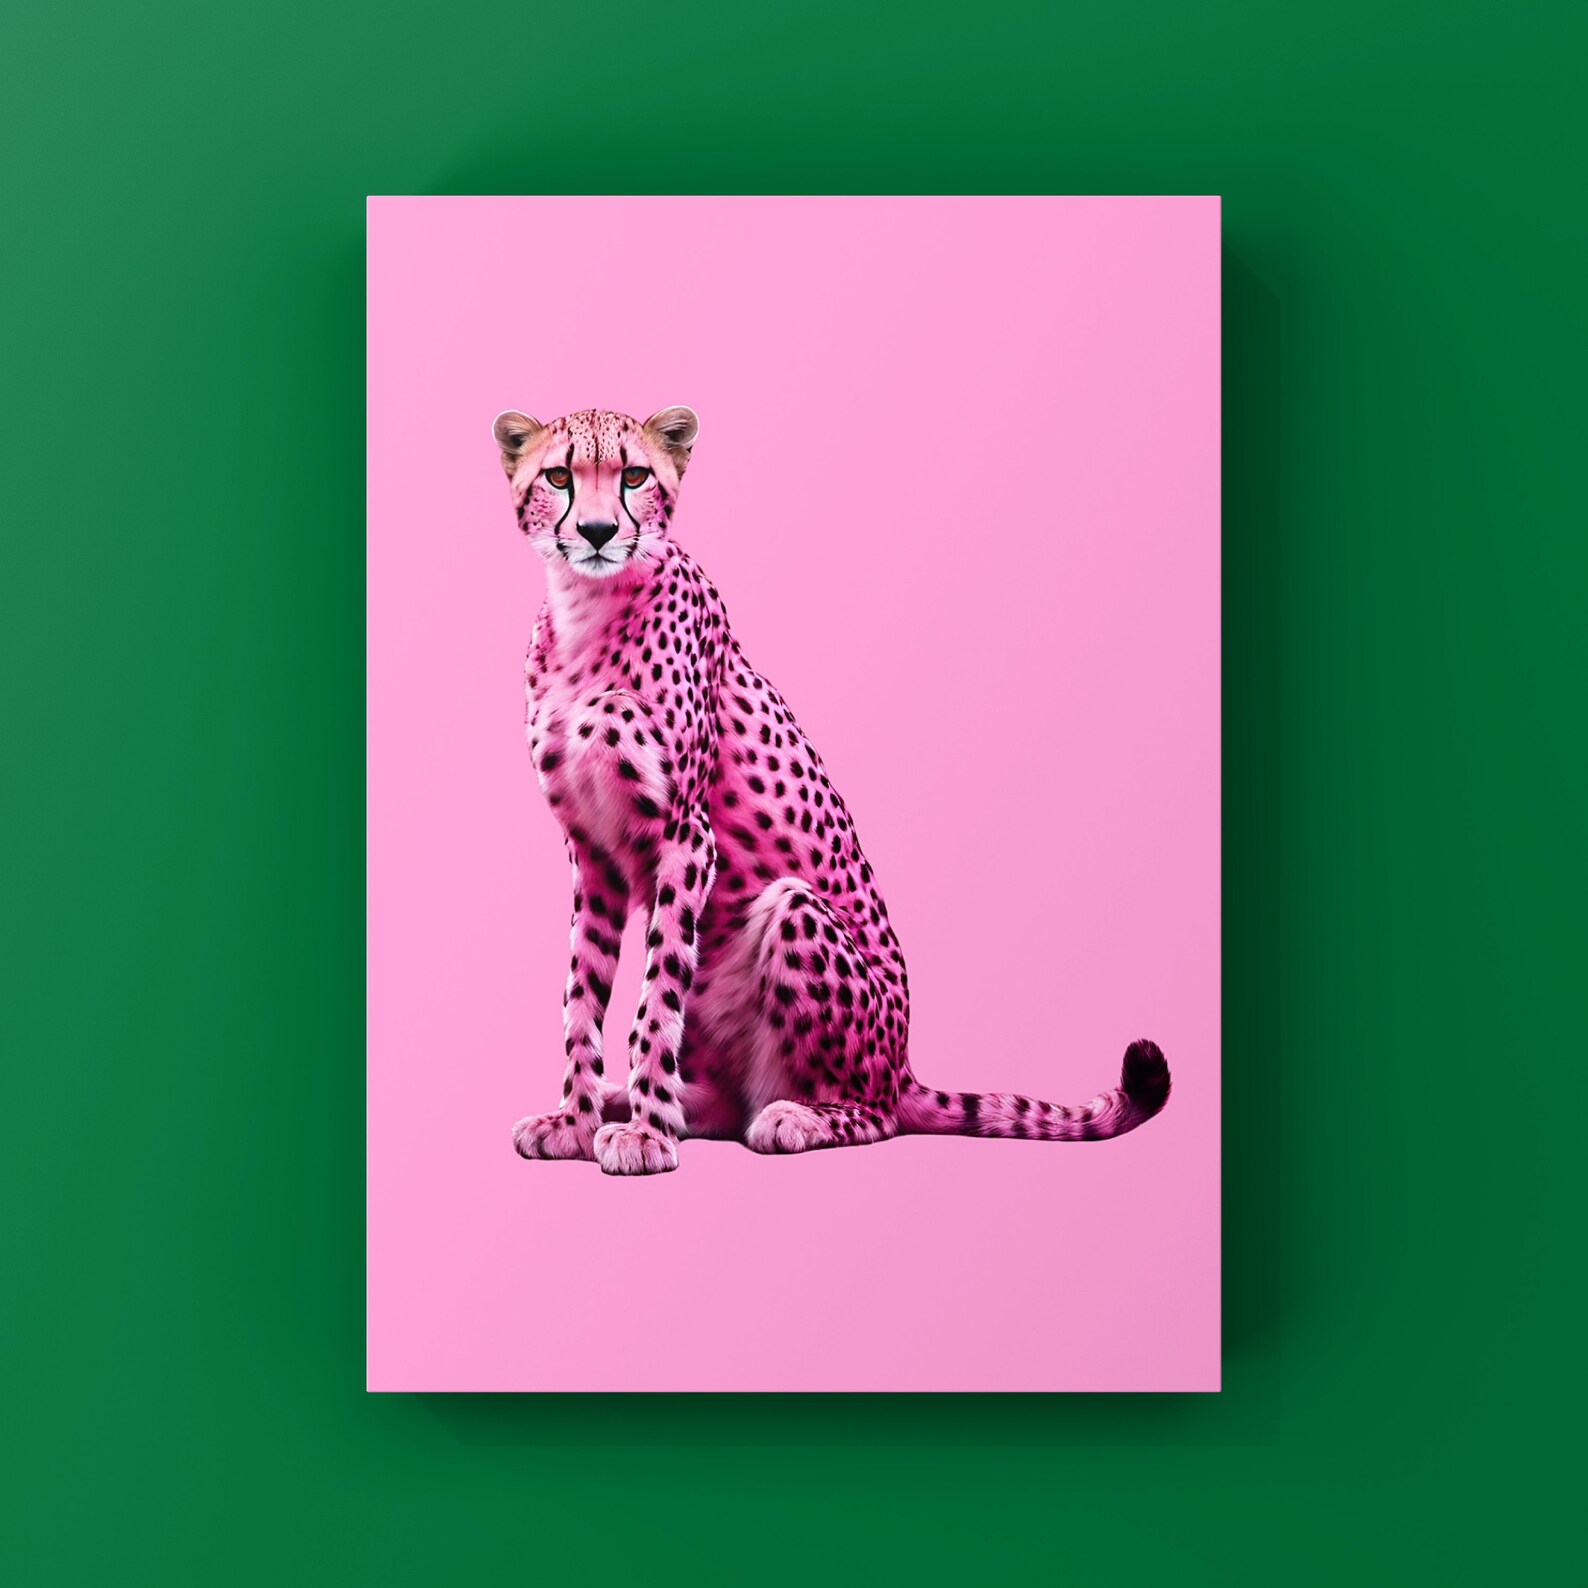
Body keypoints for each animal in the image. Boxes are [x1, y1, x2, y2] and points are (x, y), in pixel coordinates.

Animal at [494, 404, 1171, 1175]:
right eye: (558, 477)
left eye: (634, 475)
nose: (598, 532)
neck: (586, 608)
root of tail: (904, 1066)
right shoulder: (594, 854)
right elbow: (582, 994)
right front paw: (576, 1121)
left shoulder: (685, 836)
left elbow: (656, 994)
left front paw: (647, 1134)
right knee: (732, 1100)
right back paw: (646, 1103)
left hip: (798, 915)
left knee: (874, 1116)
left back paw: (792, 1117)